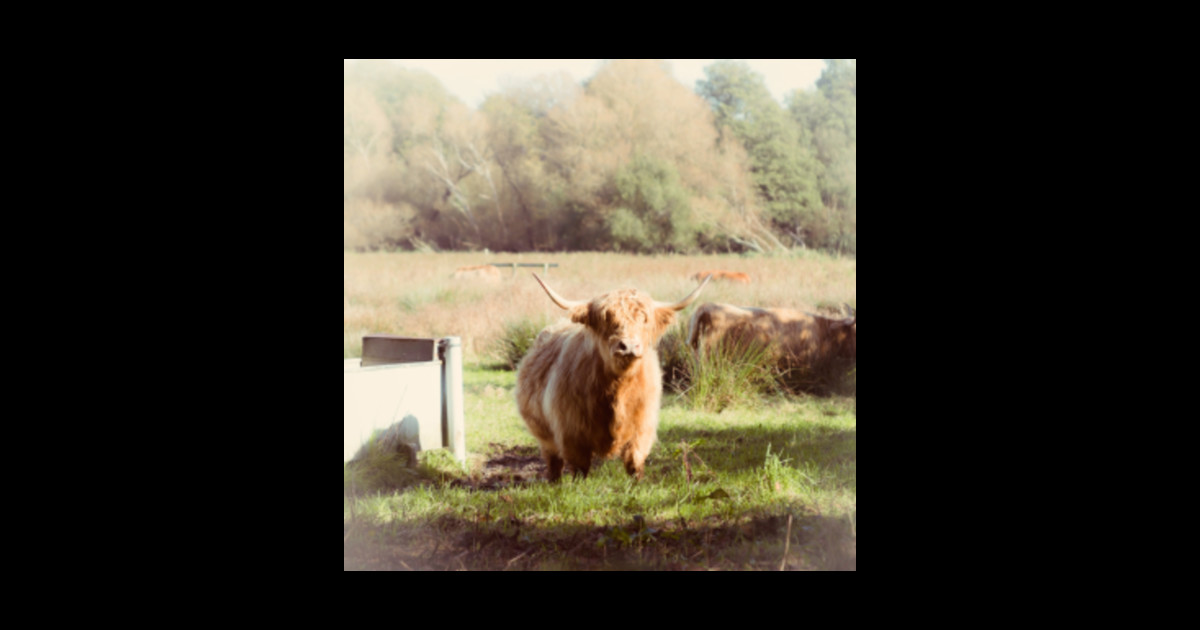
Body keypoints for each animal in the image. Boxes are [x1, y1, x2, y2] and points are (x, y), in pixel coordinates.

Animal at [515, 273, 712, 481]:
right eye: (606, 319)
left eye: (644, 319)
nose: (628, 346)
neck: (619, 388)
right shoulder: (571, 431)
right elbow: (579, 466)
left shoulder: (643, 425)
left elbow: (635, 460)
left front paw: (638, 483)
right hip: (544, 436)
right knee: (554, 461)